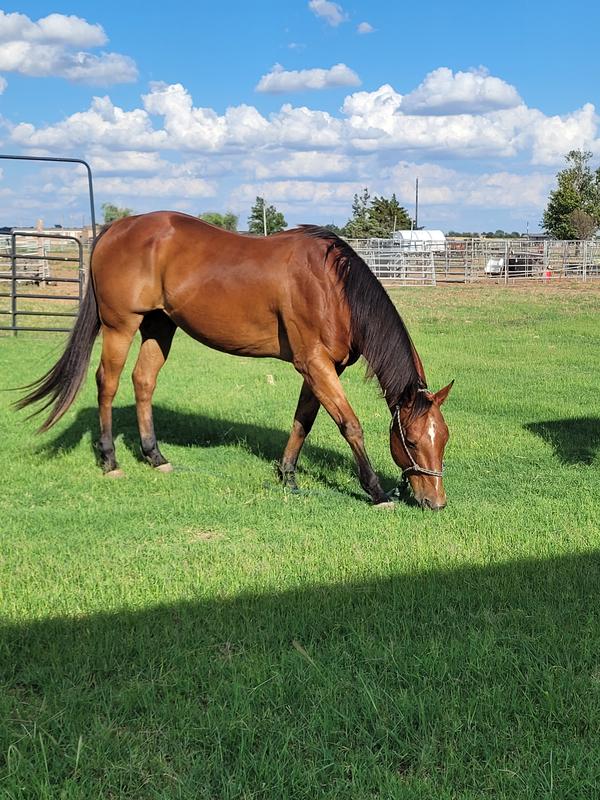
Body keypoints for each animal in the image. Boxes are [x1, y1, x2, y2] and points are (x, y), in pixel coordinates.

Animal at [17, 212, 453, 509]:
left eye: (444, 438)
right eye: (413, 440)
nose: (435, 501)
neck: (331, 285)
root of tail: (118, 227)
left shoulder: (322, 366)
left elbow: (303, 420)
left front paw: (287, 475)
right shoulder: (314, 363)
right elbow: (350, 425)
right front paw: (376, 491)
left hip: (160, 325)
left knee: (143, 381)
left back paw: (155, 456)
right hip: (120, 325)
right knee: (107, 382)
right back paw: (110, 460)